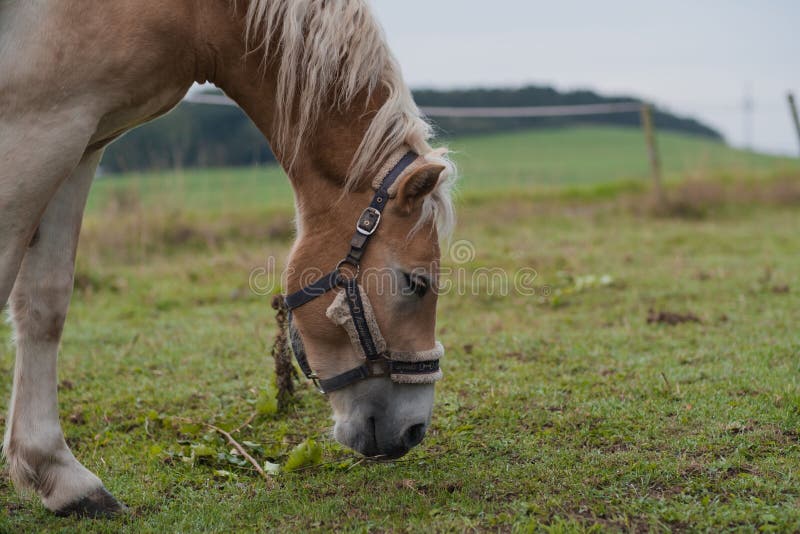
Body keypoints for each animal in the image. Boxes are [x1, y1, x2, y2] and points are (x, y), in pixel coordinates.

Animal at [0, 0, 455, 517]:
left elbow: (44, 304)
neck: (197, 14)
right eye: (416, 283)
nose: (414, 430)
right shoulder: (42, 125)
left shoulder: (83, 142)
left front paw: (59, 475)